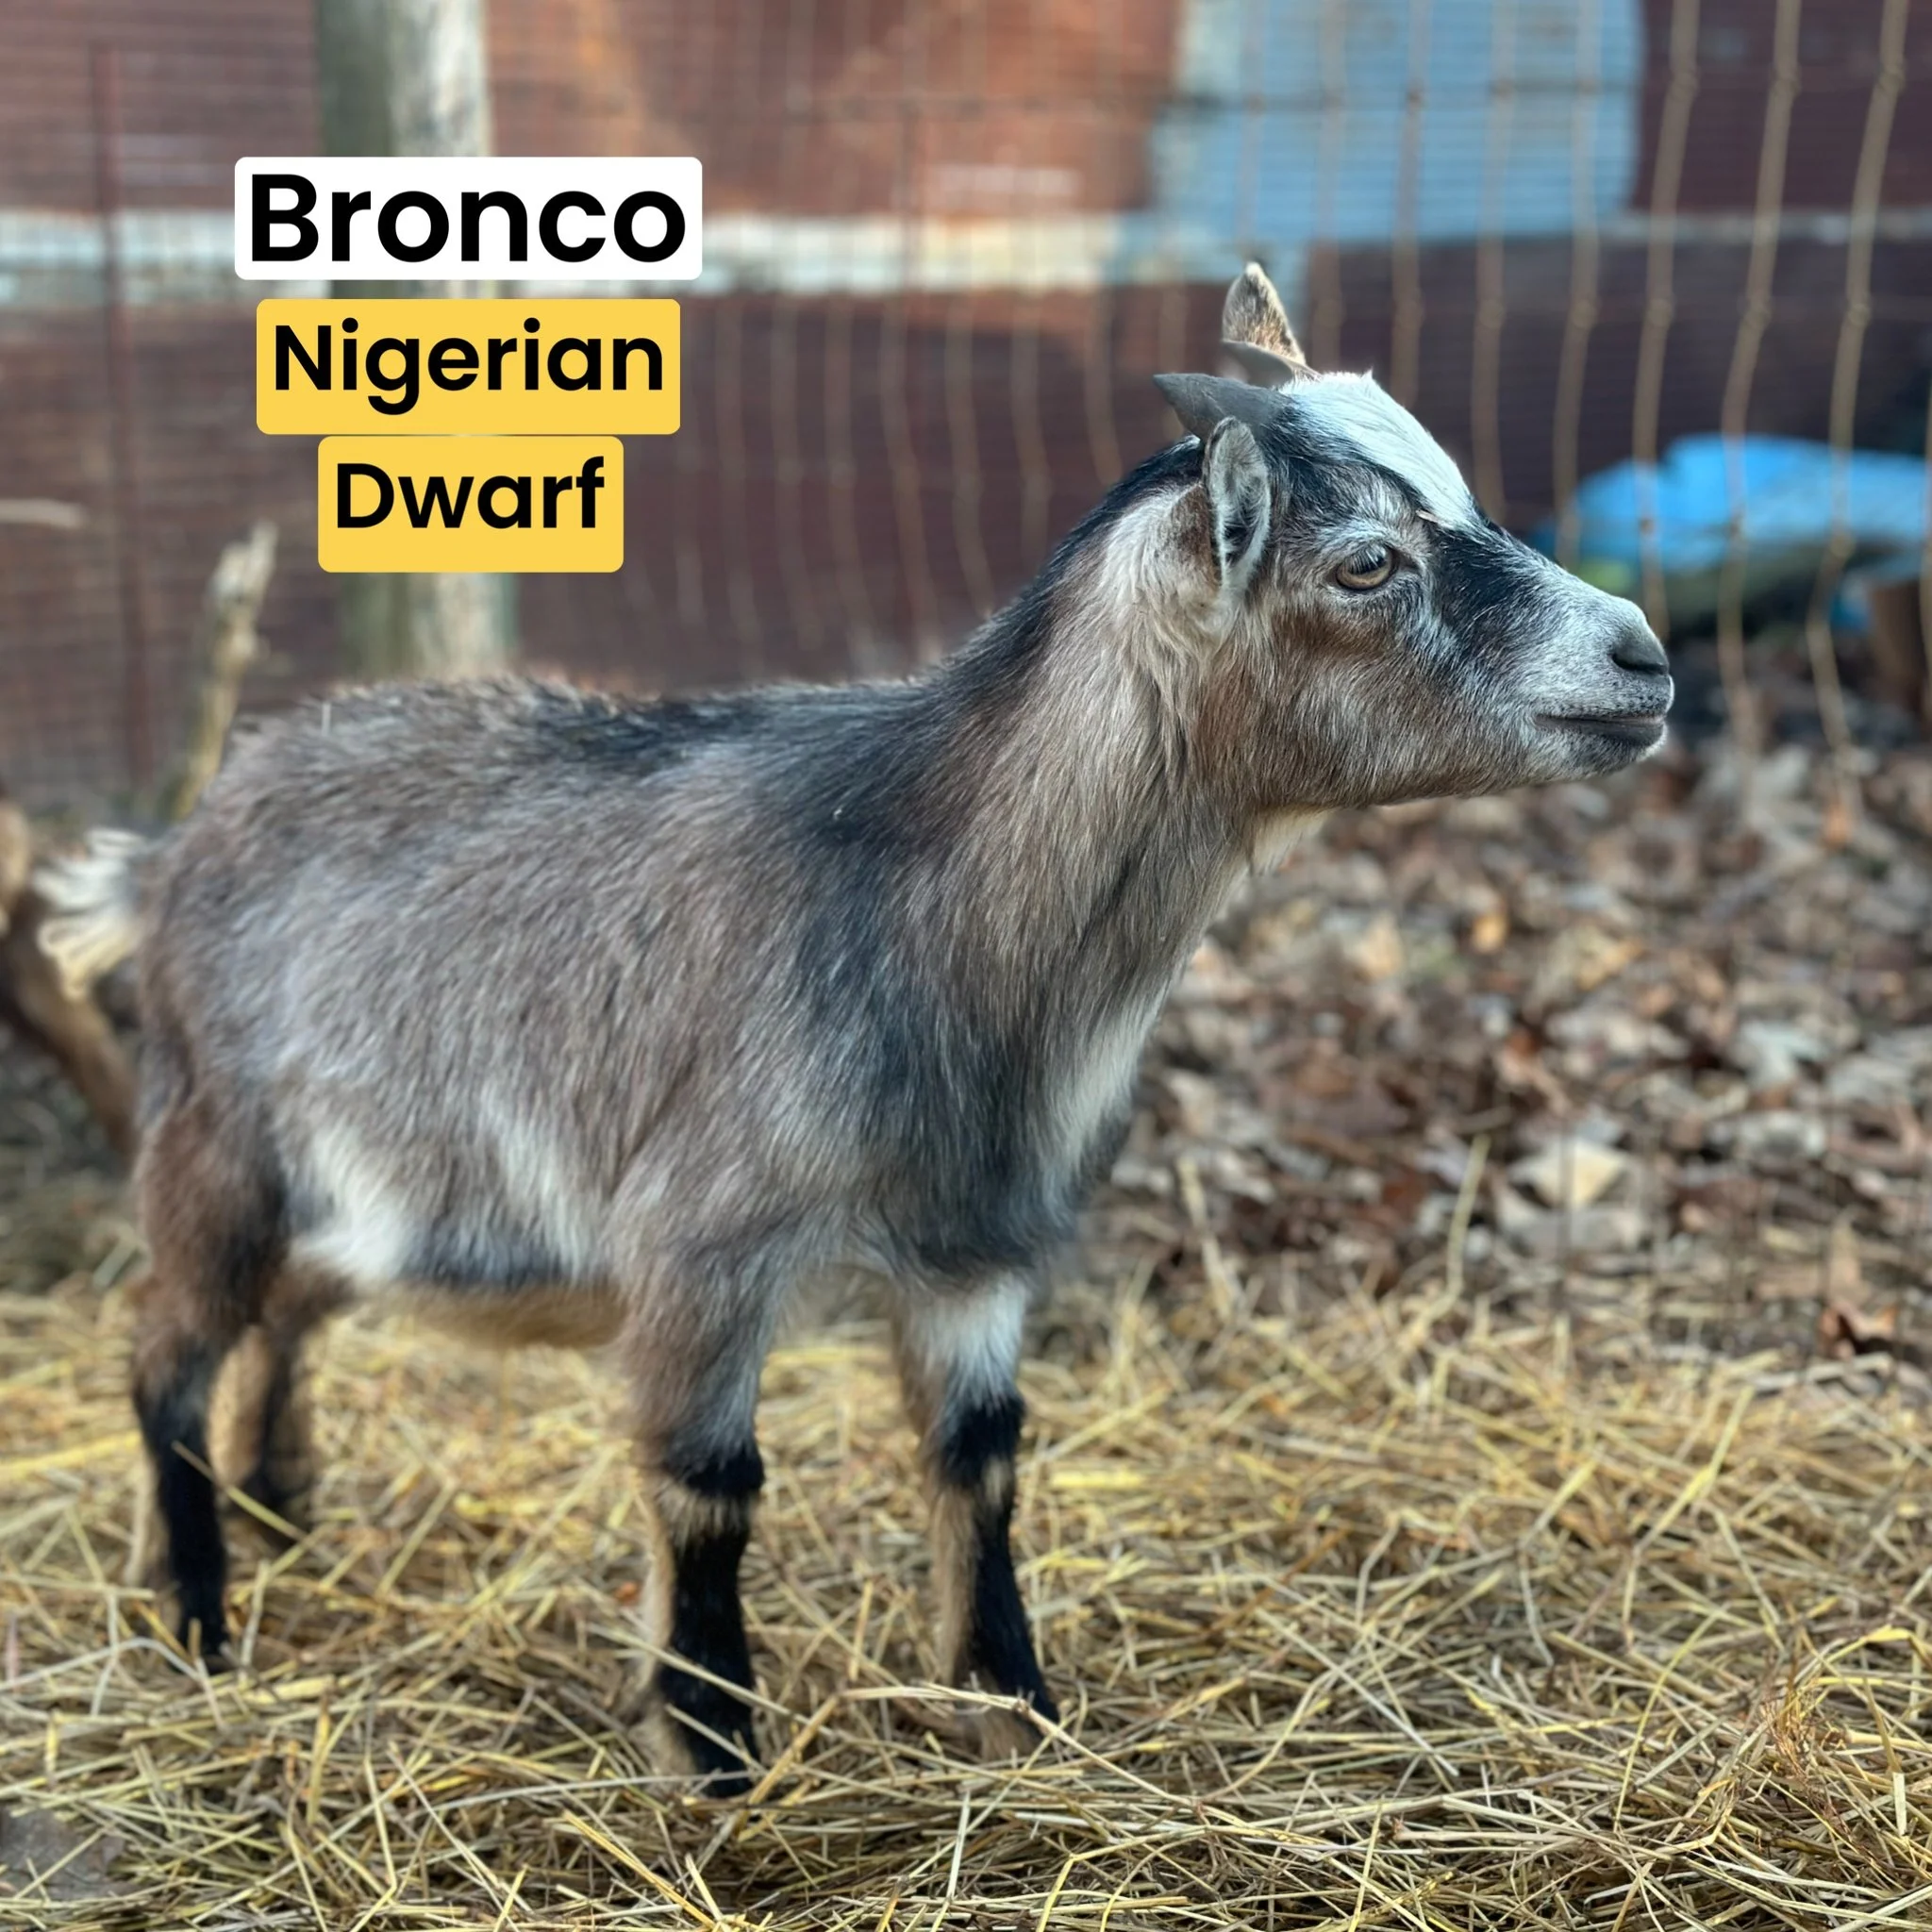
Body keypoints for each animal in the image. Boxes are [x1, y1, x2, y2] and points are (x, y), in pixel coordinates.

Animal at [40, 265, 1672, 1793]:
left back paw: (279, 1511)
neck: (918, 894)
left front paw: (1012, 1707)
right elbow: (707, 1485)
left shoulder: (975, 1249)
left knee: (290, 1311)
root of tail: (167, 854)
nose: (1644, 658)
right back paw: (197, 1611)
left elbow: (981, 1462)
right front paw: (712, 1750)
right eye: (1367, 561)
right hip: (210, 1148)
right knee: (166, 1353)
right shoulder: (702, 1244)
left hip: (367, 1187)